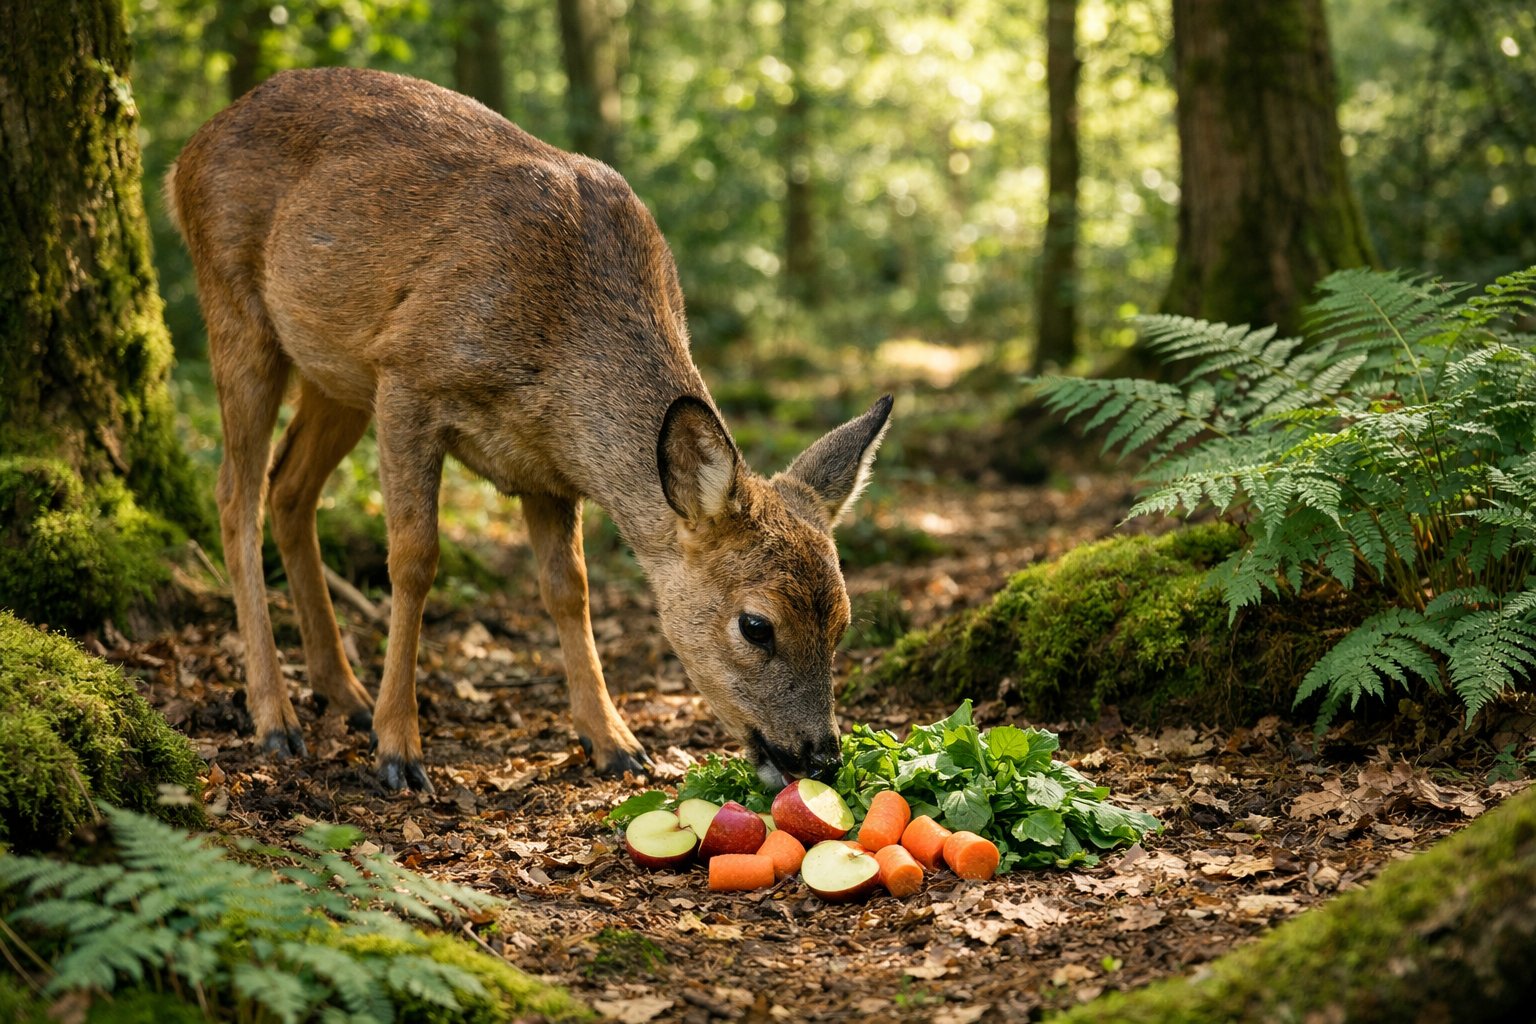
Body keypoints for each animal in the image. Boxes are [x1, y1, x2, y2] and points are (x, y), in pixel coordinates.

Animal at [167, 67, 891, 795]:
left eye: (843, 622)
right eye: (756, 625)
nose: (820, 757)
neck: (559, 351)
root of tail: (187, 153)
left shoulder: (546, 466)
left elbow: (570, 587)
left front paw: (615, 741)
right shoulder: (406, 375)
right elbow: (414, 560)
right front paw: (399, 749)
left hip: (335, 369)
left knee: (290, 488)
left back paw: (343, 692)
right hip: (236, 306)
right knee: (236, 495)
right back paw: (276, 718)